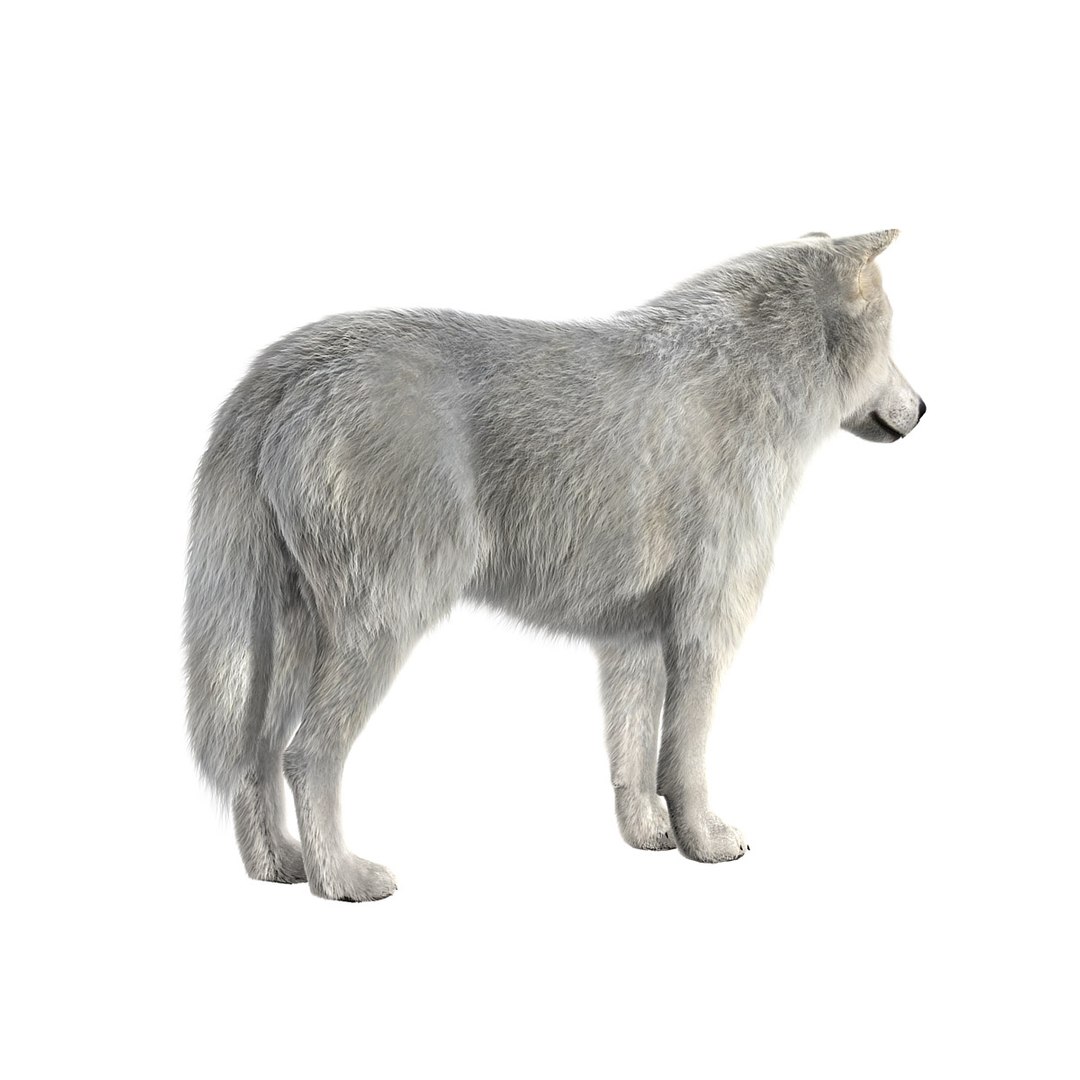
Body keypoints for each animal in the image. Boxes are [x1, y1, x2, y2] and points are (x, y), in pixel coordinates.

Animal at [185, 230, 925, 902]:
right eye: (892, 340)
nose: (922, 408)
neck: (754, 378)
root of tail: (290, 364)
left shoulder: (631, 641)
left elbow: (633, 760)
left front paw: (651, 837)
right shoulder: (704, 628)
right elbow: (683, 762)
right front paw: (706, 843)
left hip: (287, 639)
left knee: (253, 754)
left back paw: (279, 867)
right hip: (377, 628)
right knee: (306, 756)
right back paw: (341, 880)